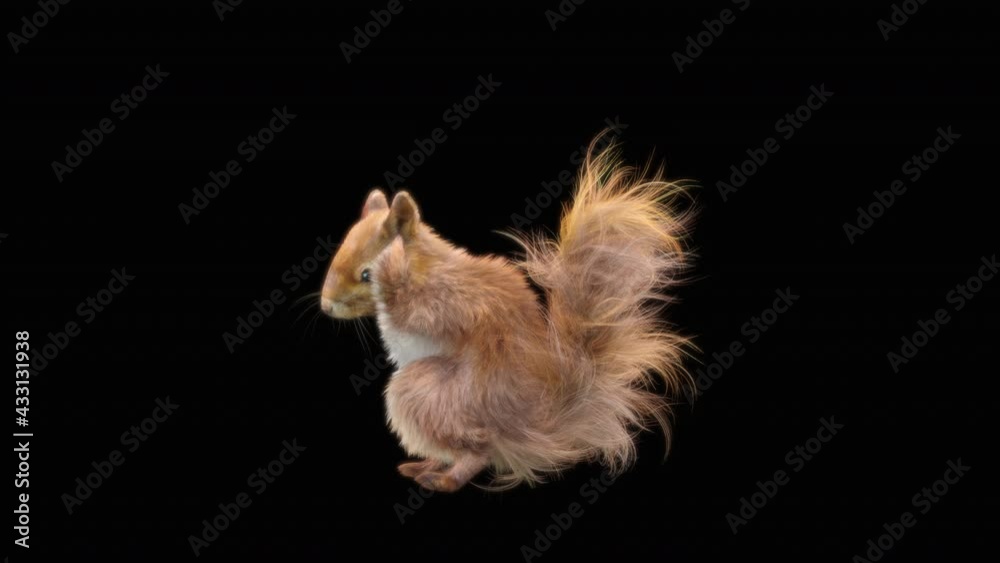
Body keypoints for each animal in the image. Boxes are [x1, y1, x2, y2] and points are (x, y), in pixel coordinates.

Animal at [320, 134, 695, 492]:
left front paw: (392, 264)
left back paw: (446, 478)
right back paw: (426, 466)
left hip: (435, 396)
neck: (424, 269)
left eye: (365, 275)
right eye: (340, 250)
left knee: (477, 451)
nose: (326, 305)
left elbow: (423, 313)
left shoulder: (454, 301)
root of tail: (526, 428)